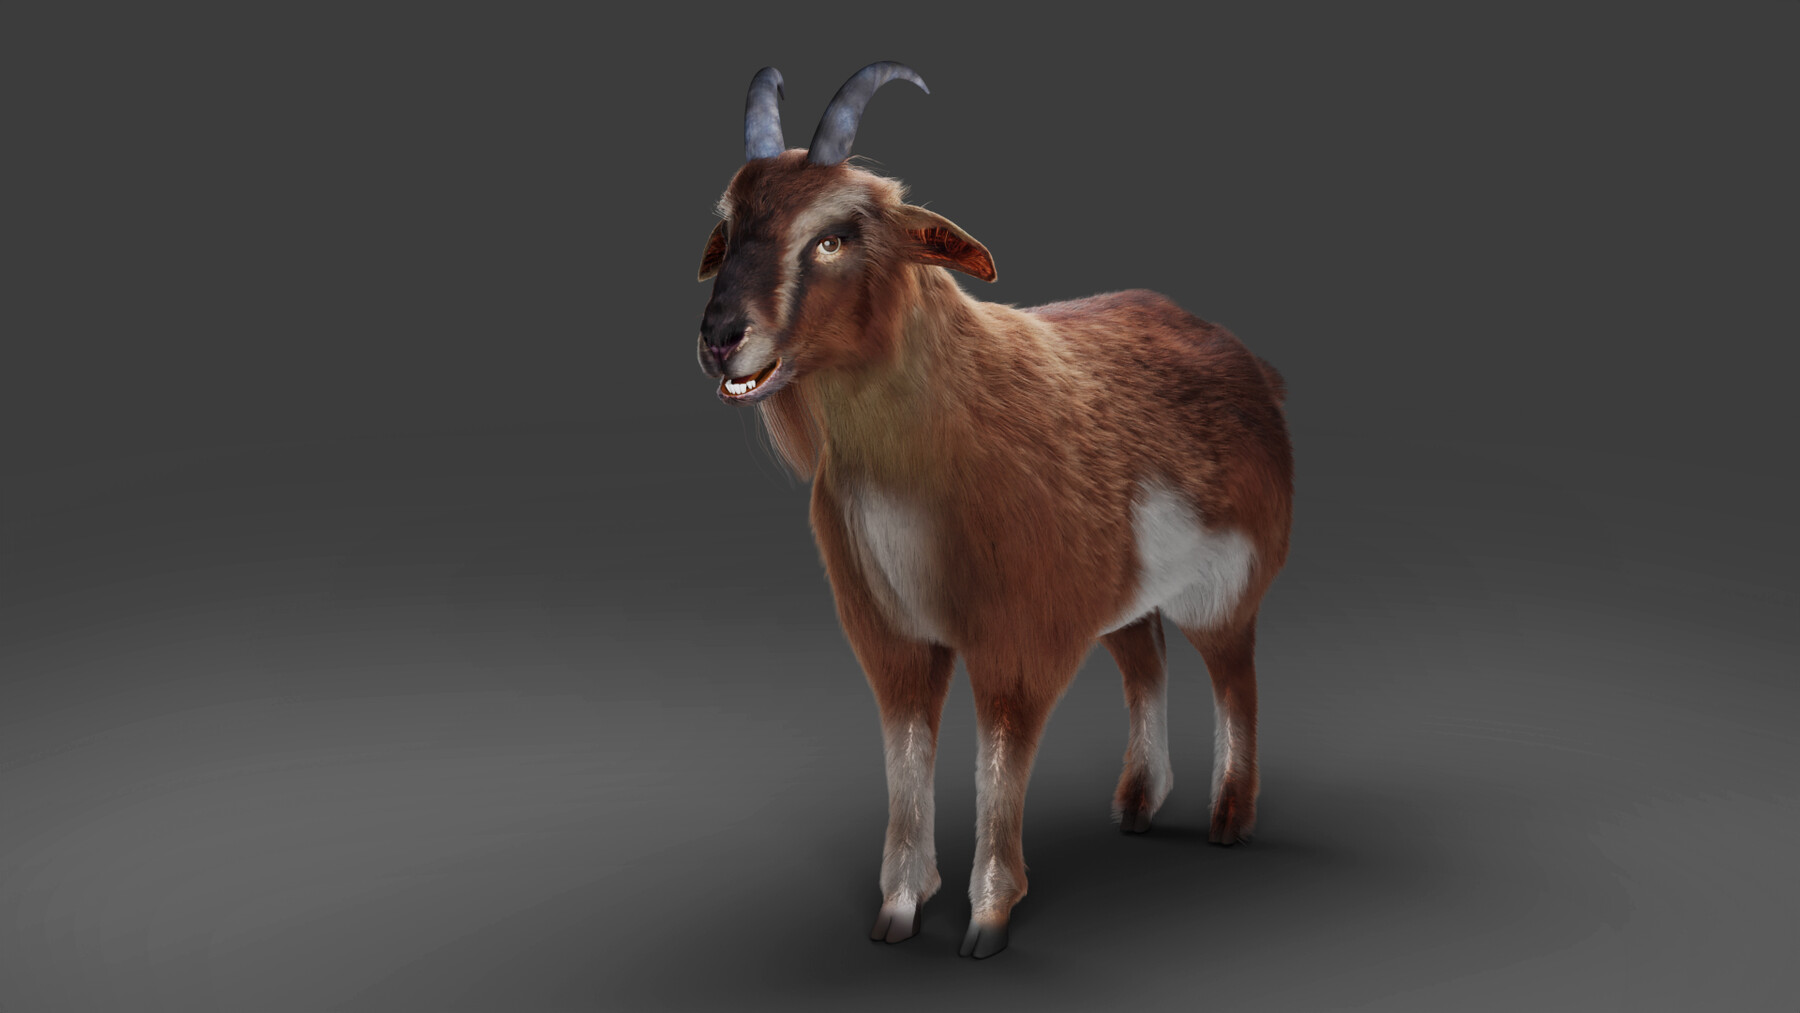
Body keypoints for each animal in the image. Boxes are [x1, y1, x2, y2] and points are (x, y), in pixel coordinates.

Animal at [693, 63, 1293, 959]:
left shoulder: (1017, 637)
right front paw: (899, 907)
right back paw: (1138, 802)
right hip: (1125, 596)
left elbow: (999, 766)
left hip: (1228, 587)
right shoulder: (897, 638)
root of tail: (1252, 364)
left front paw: (987, 916)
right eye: (728, 229)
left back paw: (1228, 816)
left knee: (1235, 679)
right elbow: (908, 762)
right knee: (1146, 664)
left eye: (835, 235)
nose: (721, 337)